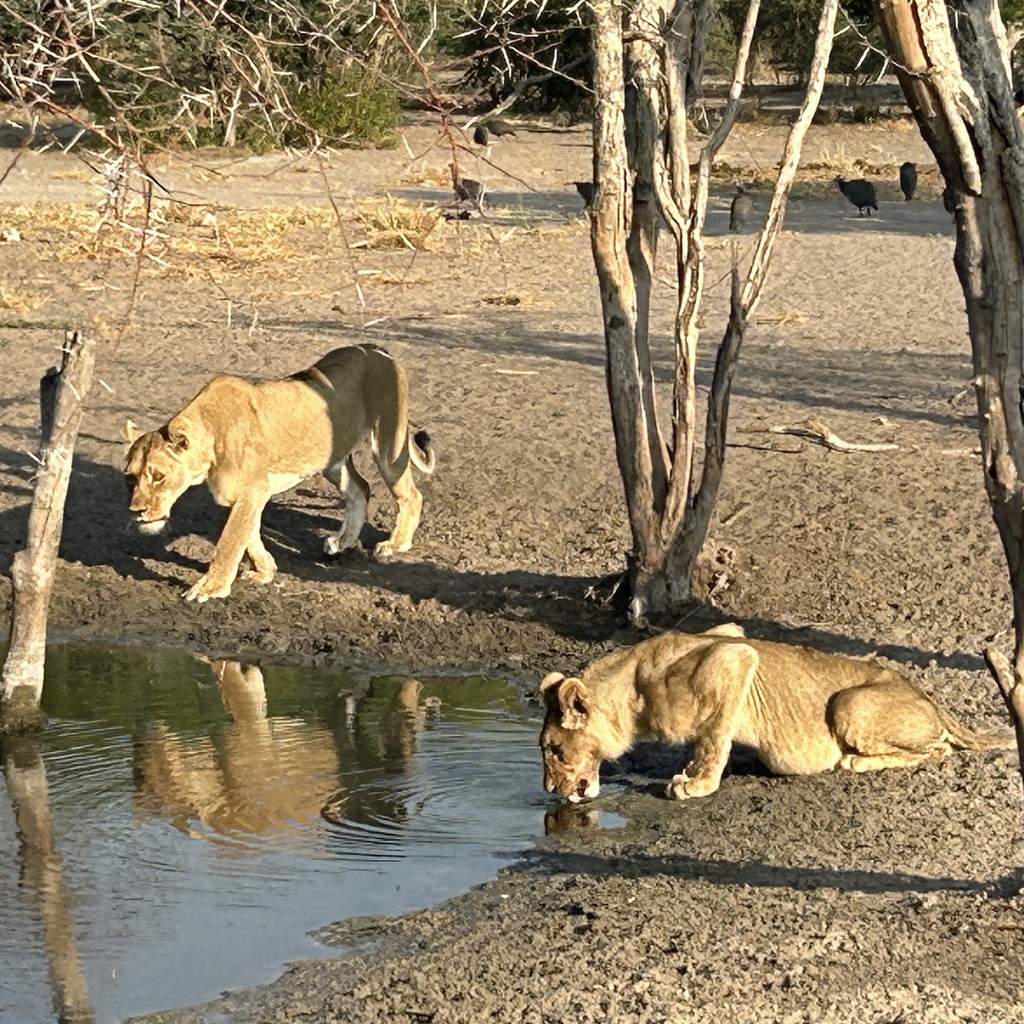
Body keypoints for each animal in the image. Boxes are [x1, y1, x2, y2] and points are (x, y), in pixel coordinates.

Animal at [124, 343, 435, 603]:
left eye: (158, 476)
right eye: (130, 478)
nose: (137, 512)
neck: (210, 437)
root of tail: (378, 349)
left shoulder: (253, 491)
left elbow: (230, 540)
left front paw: (210, 588)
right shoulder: (247, 496)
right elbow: (249, 535)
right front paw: (265, 571)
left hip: (388, 444)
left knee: (411, 495)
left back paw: (394, 545)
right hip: (332, 461)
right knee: (361, 488)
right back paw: (341, 542)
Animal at [539, 624, 1012, 803]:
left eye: (553, 749)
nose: (547, 789)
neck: (633, 689)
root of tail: (932, 701)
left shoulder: (734, 657)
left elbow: (714, 736)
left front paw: (696, 784)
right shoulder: (729, 631)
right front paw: (691, 771)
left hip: (849, 704)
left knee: (938, 750)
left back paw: (853, 762)